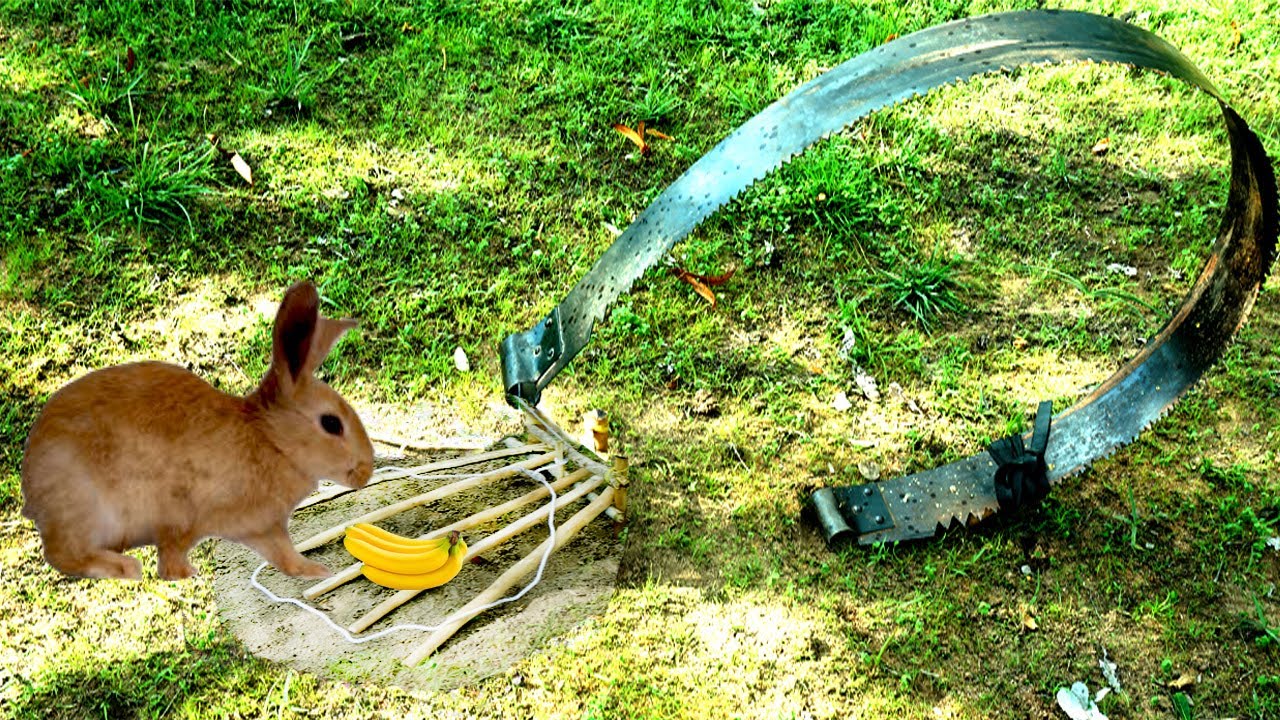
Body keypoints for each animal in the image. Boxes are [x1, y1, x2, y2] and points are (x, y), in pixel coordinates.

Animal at [20, 281, 374, 580]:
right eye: (331, 423)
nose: (365, 472)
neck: (271, 441)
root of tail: (31, 487)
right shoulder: (184, 515)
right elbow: (173, 553)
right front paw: (186, 575)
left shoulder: (263, 528)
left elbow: (285, 555)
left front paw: (316, 571)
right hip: (88, 508)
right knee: (63, 554)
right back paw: (126, 568)